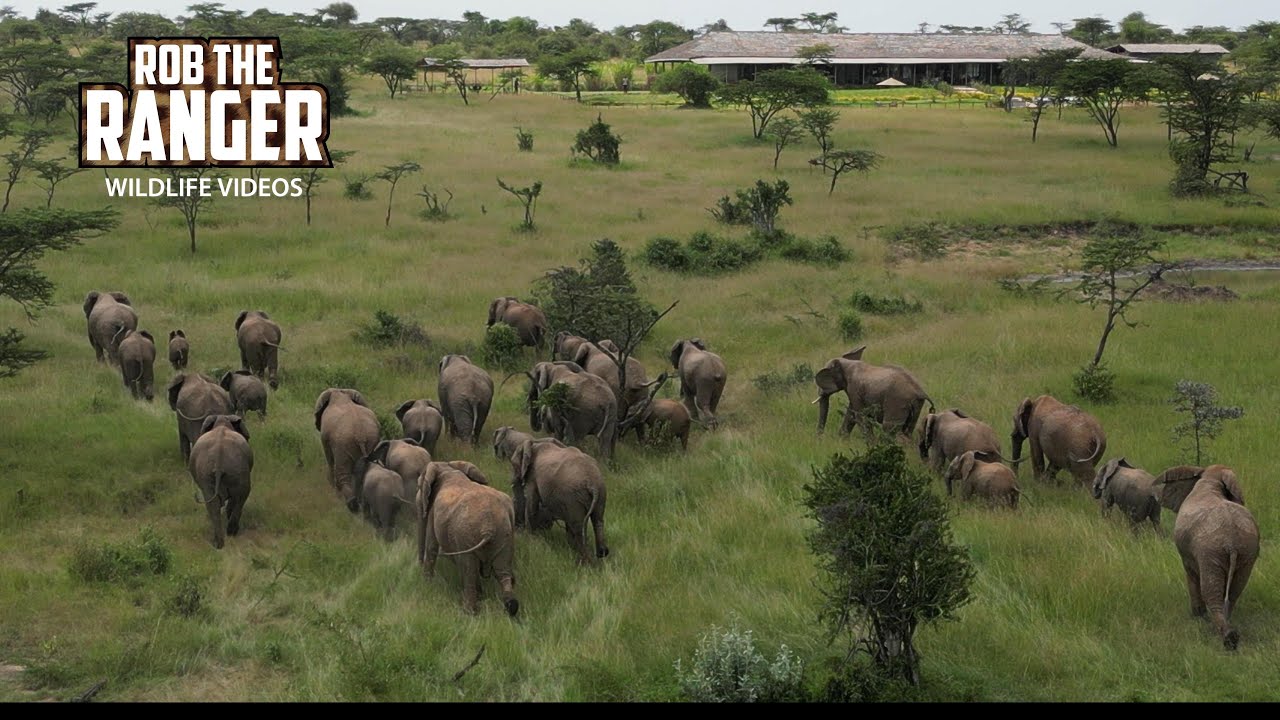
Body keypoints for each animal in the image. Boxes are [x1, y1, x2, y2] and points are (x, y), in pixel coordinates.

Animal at [187, 415, 253, 549]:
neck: (222, 422)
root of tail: (218, 458)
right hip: (237, 470)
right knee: (241, 496)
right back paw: (231, 533)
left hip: (208, 473)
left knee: (213, 503)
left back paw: (218, 543)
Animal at [416, 461, 519, 616]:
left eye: (419, 486)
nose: (418, 565)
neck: (448, 468)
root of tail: (488, 526)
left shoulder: (434, 512)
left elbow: (432, 546)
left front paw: (426, 583)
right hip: (505, 536)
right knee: (503, 571)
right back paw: (511, 608)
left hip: (467, 536)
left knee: (469, 569)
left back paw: (468, 613)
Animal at [508, 434, 609, 565]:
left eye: (514, 464)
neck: (535, 442)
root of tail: (593, 484)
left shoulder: (533, 475)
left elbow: (531, 502)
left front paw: (529, 538)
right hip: (600, 494)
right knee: (598, 521)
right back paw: (597, 554)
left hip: (574, 497)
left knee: (578, 526)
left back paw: (583, 561)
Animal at [1154, 465, 1260, 650]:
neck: (1211, 479)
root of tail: (1232, 541)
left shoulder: (1188, 552)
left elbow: (1190, 573)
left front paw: (1197, 616)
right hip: (1247, 552)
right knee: (1235, 590)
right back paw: (1227, 629)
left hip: (1210, 551)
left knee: (1211, 590)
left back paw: (1225, 636)